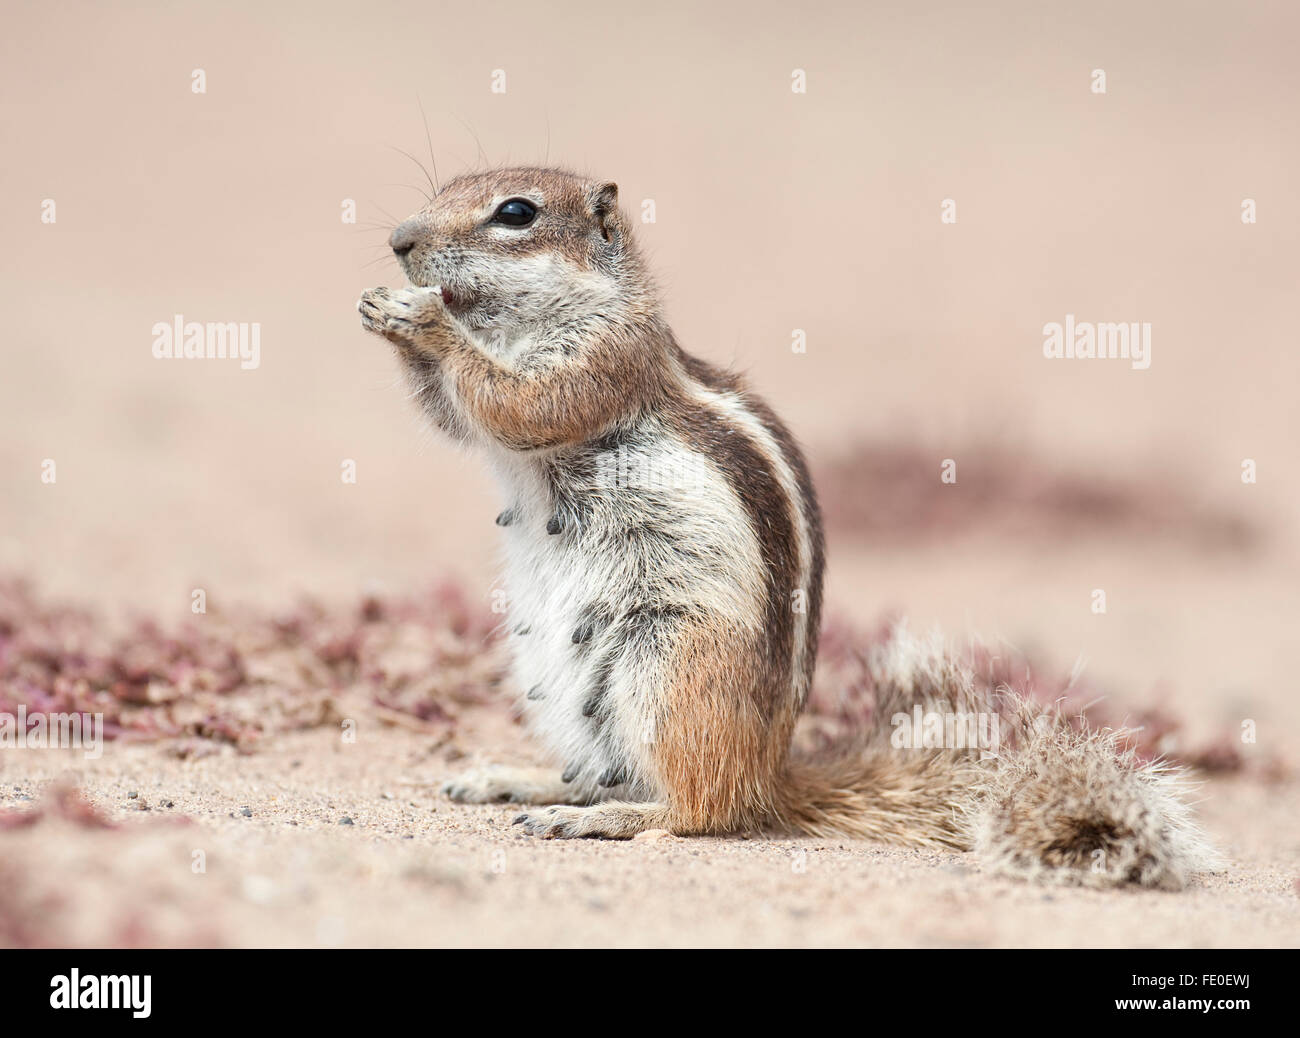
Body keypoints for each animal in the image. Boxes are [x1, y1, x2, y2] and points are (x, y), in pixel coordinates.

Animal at [358, 166, 1219, 888]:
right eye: (445, 188)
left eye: (516, 213)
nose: (400, 241)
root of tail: (770, 774)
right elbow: (459, 418)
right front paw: (384, 312)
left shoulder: (603, 361)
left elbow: (519, 404)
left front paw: (425, 322)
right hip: (559, 686)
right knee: (603, 769)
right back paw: (519, 779)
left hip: (670, 666)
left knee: (703, 810)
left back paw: (608, 818)